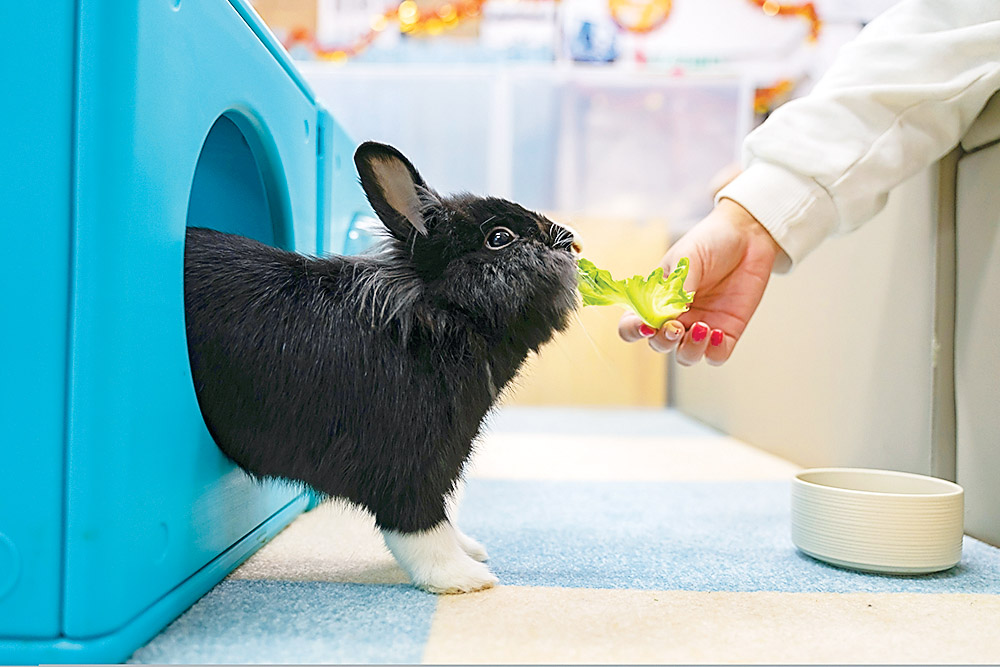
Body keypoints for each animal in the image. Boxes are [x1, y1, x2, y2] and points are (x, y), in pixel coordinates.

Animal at [183, 141, 580, 594]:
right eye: (500, 238)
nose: (572, 240)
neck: (437, 317)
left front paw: (470, 549)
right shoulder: (410, 464)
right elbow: (420, 527)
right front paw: (464, 577)